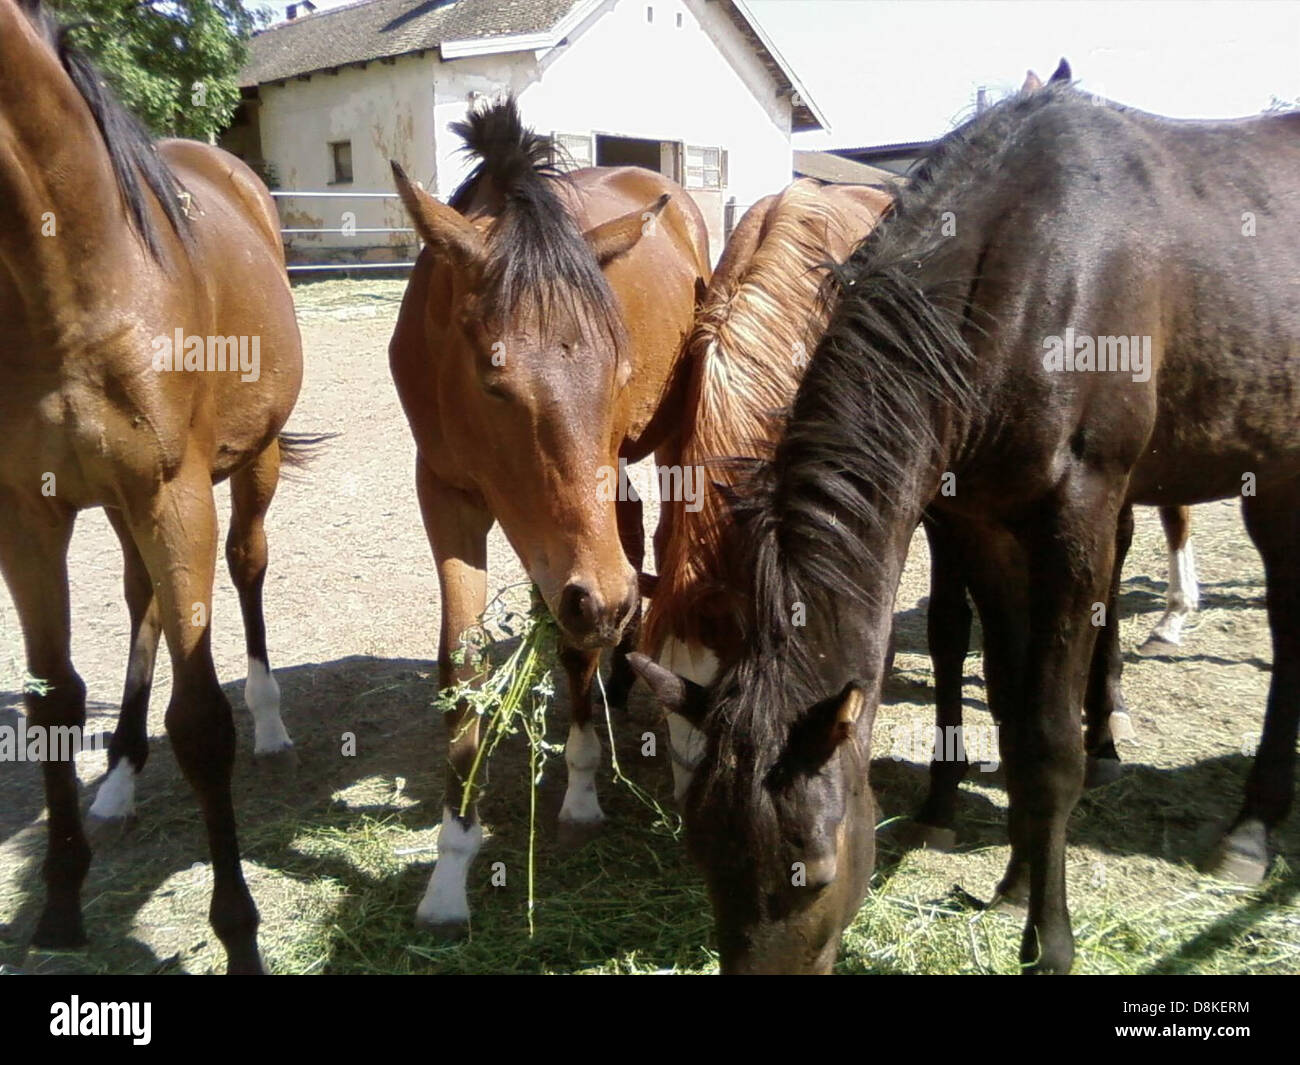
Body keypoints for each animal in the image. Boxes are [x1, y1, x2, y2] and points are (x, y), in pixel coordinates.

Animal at [0, 0, 309, 973]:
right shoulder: (27, 513)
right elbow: (53, 696)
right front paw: (62, 899)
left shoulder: (177, 496)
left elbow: (202, 720)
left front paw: (240, 932)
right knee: (140, 600)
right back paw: (121, 777)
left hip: (251, 465)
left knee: (246, 567)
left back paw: (273, 723)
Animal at [387, 97, 709, 937]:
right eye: (492, 376)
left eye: (620, 367)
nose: (605, 600)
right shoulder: (447, 493)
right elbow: (463, 658)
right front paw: (451, 865)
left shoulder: (574, 545)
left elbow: (572, 633)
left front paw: (584, 787)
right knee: (628, 534)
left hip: (667, 444)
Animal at [632, 77, 1300, 973]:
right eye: (703, 854)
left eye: (817, 870)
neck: (1031, 271)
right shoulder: (983, 523)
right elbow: (1011, 713)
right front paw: (1015, 882)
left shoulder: (1076, 516)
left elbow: (1048, 742)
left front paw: (1048, 939)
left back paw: (1245, 824)